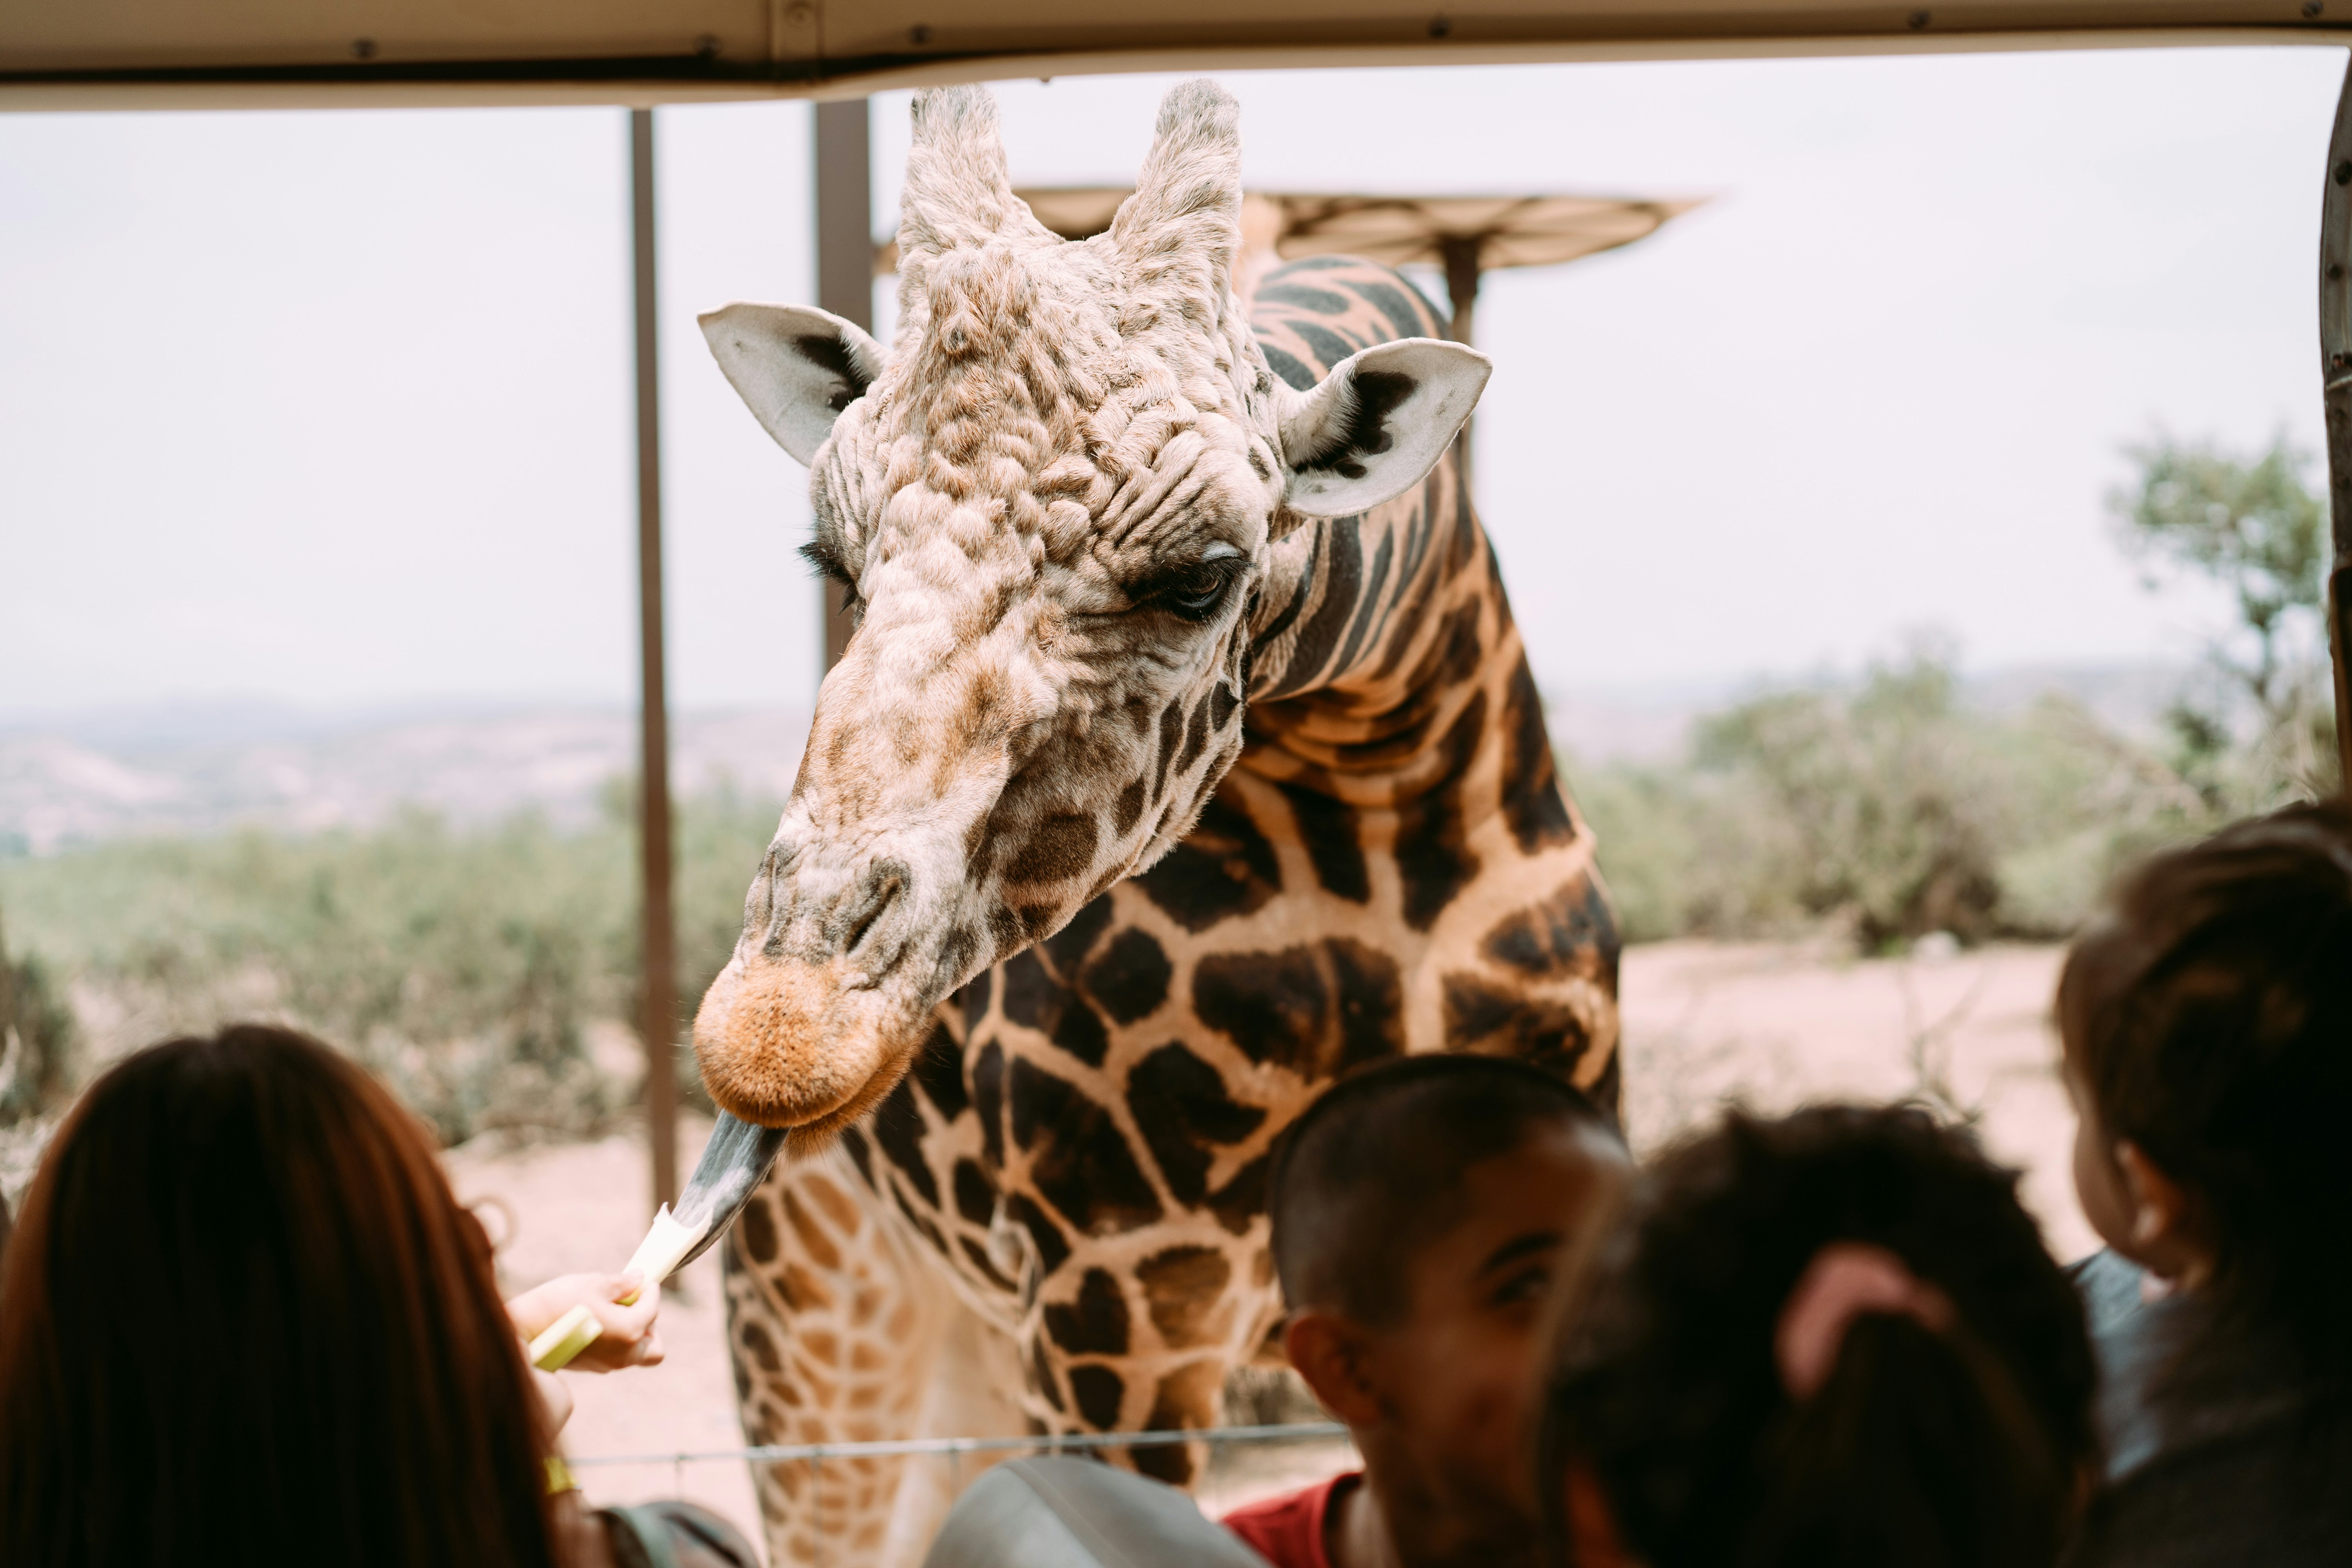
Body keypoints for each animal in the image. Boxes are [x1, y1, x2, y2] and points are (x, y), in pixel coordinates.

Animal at [688, 81, 1621, 1566]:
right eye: (832, 564)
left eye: (1200, 578)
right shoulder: (1116, 1301)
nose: (776, 1035)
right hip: (823, 1339)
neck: (1380, 785)